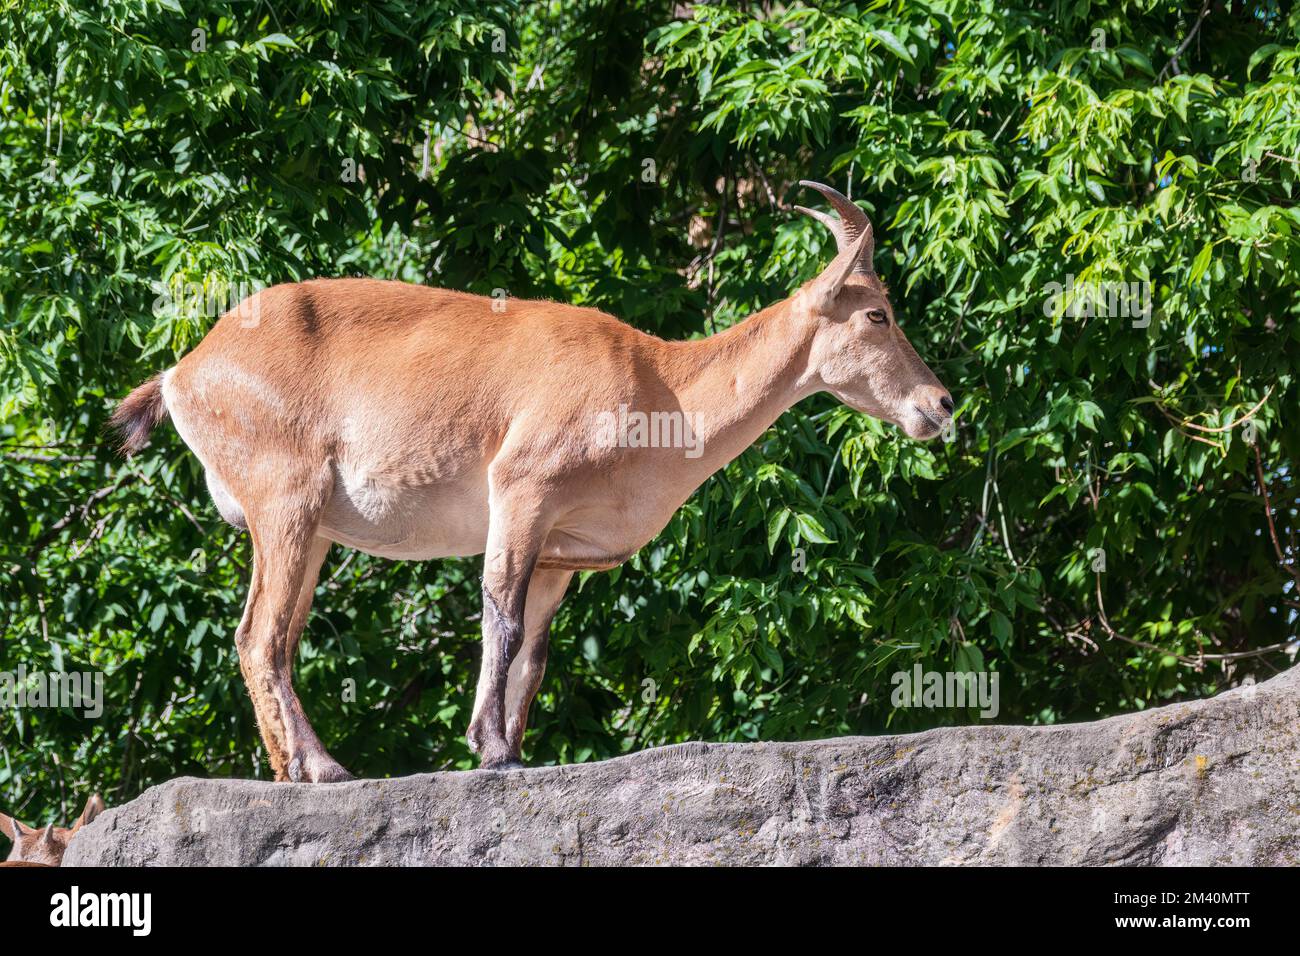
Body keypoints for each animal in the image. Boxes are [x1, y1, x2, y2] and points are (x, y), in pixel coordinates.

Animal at [111, 182, 953, 777]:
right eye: (877, 314)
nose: (940, 404)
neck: (662, 387)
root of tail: (185, 372)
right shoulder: (521, 491)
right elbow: (502, 618)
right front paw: (487, 748)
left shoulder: (560, 552)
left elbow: (538, 651)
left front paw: (516, 750)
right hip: (285, 504)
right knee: (260, 636)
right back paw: (321, 769)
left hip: (309, 530)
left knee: (274, 637)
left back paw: (294, 770)